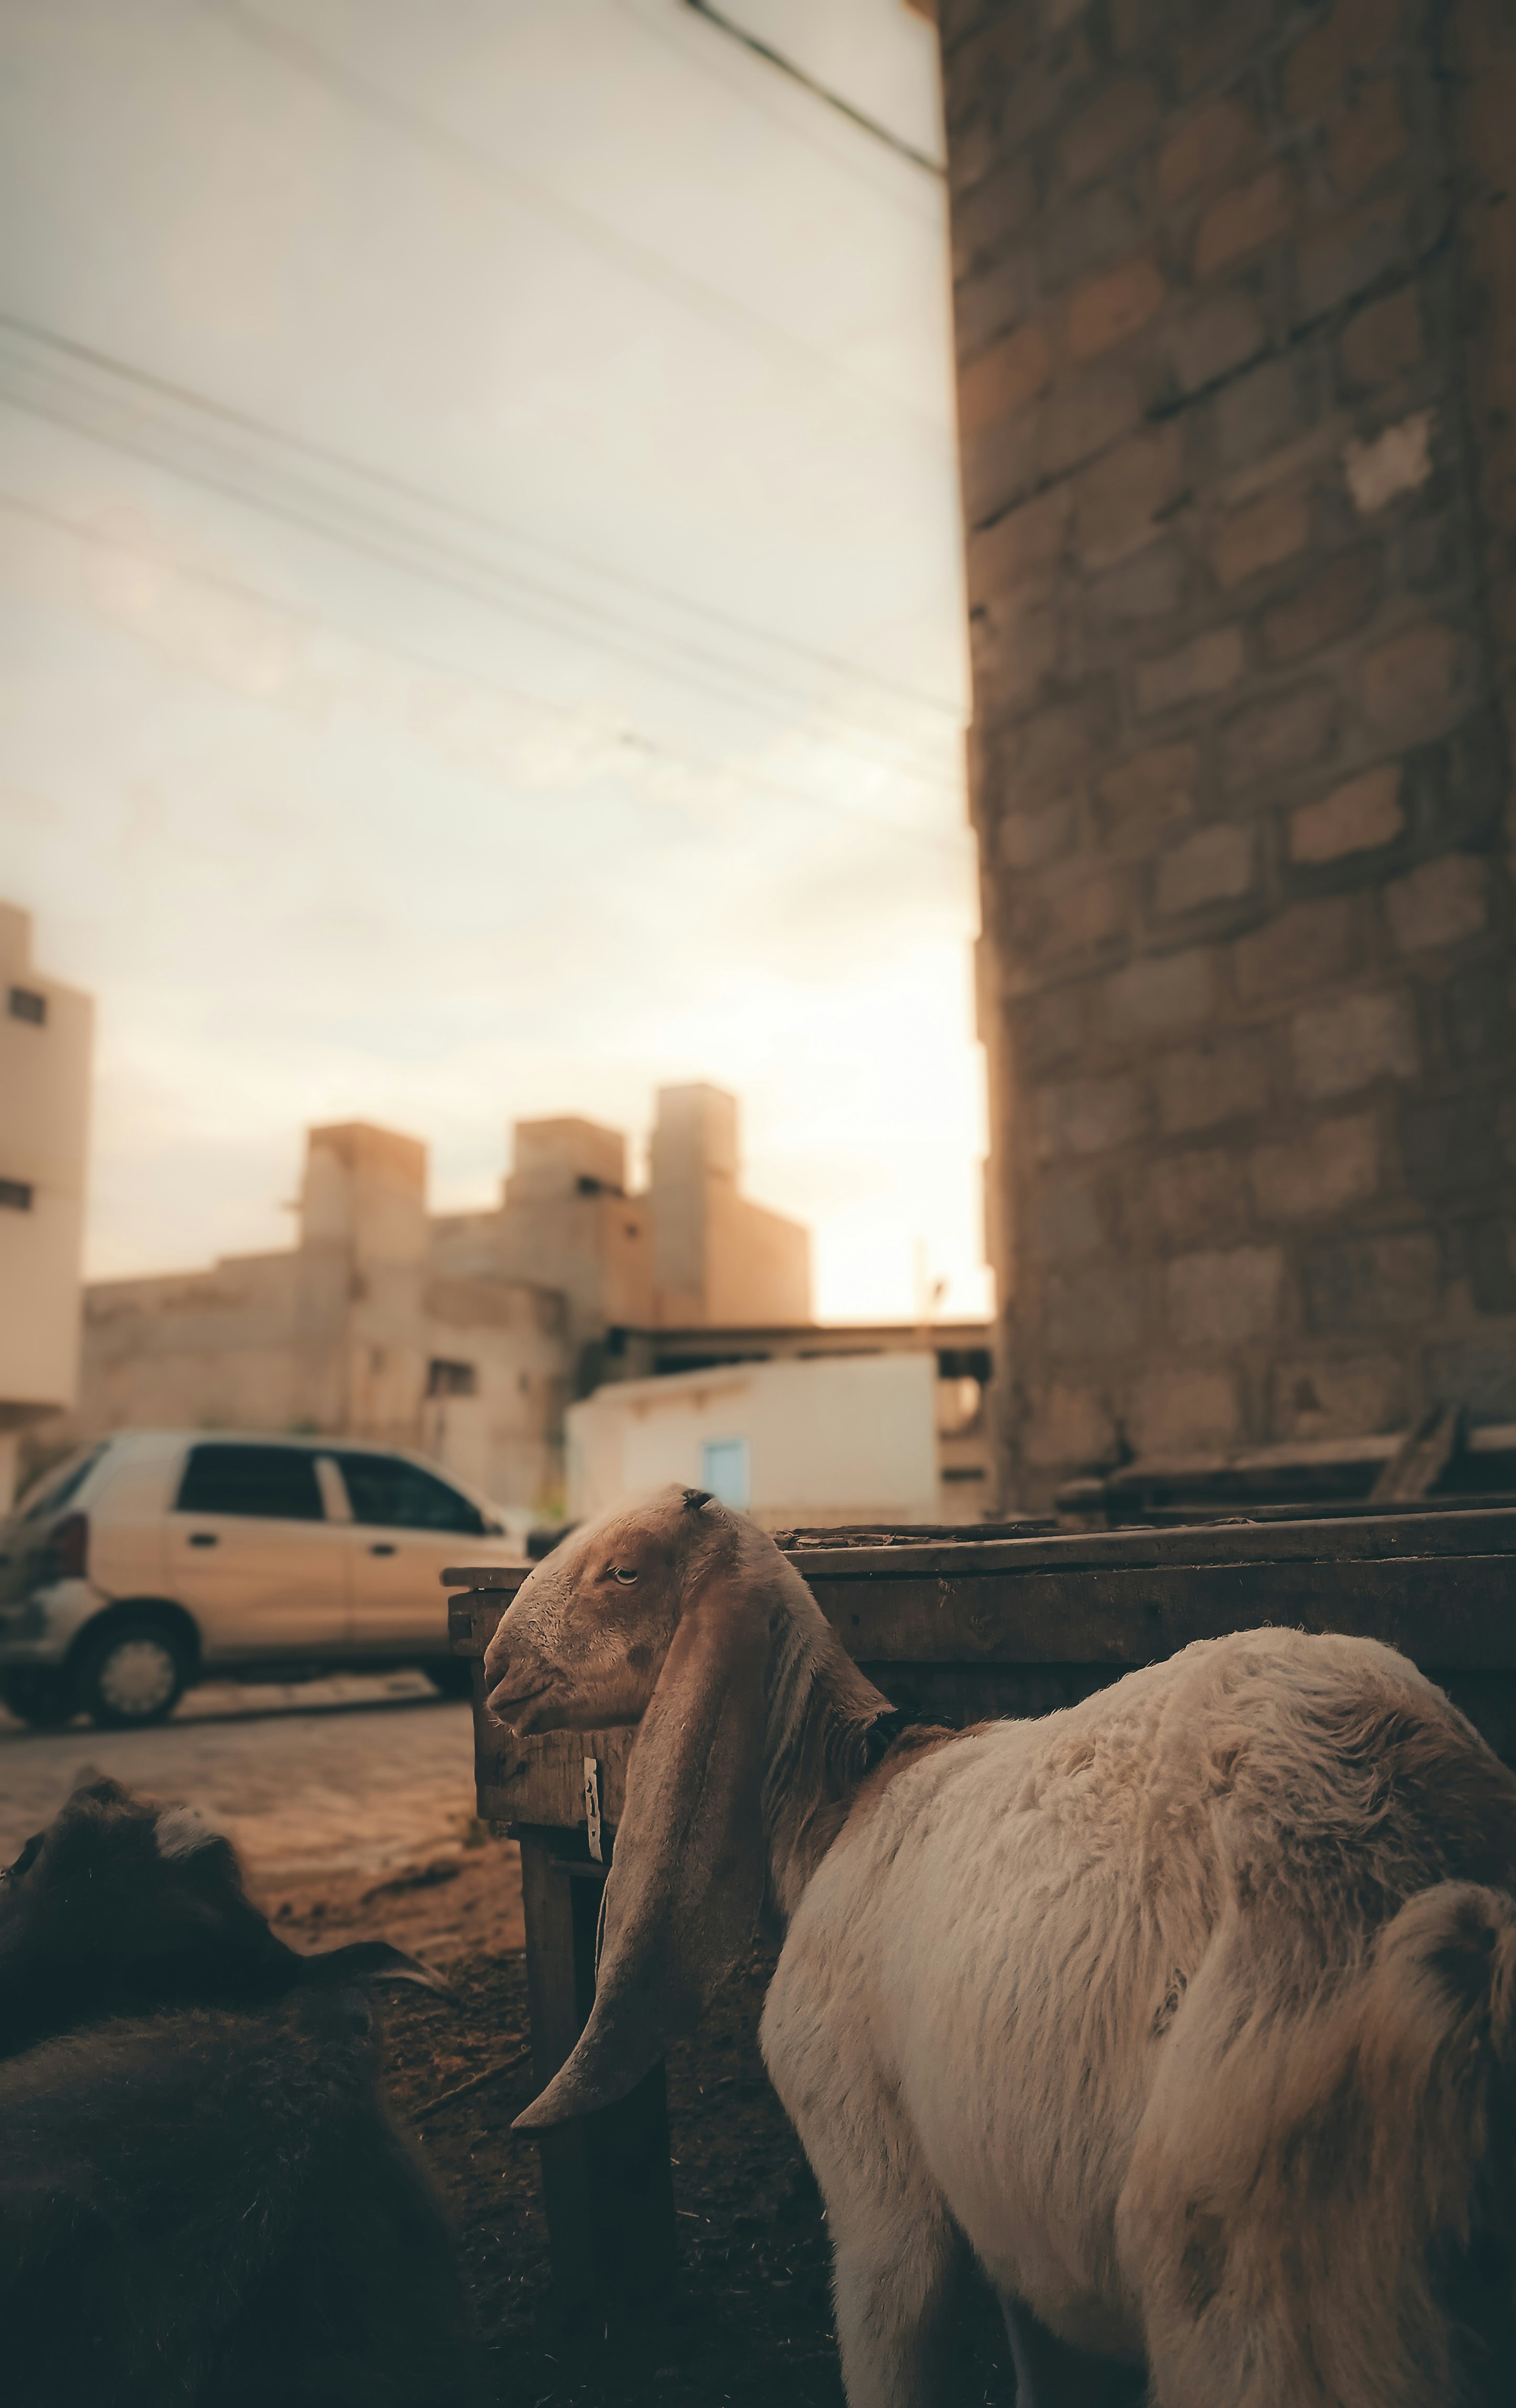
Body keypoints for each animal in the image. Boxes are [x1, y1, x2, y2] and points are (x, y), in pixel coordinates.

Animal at [483, 1484, 1516, 2408]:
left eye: (622, 1570)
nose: (493, 1669)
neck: (841, 1803)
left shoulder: (871, 2166)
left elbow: (897, 2341)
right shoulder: (1012, 2209)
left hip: (1261, 2277)